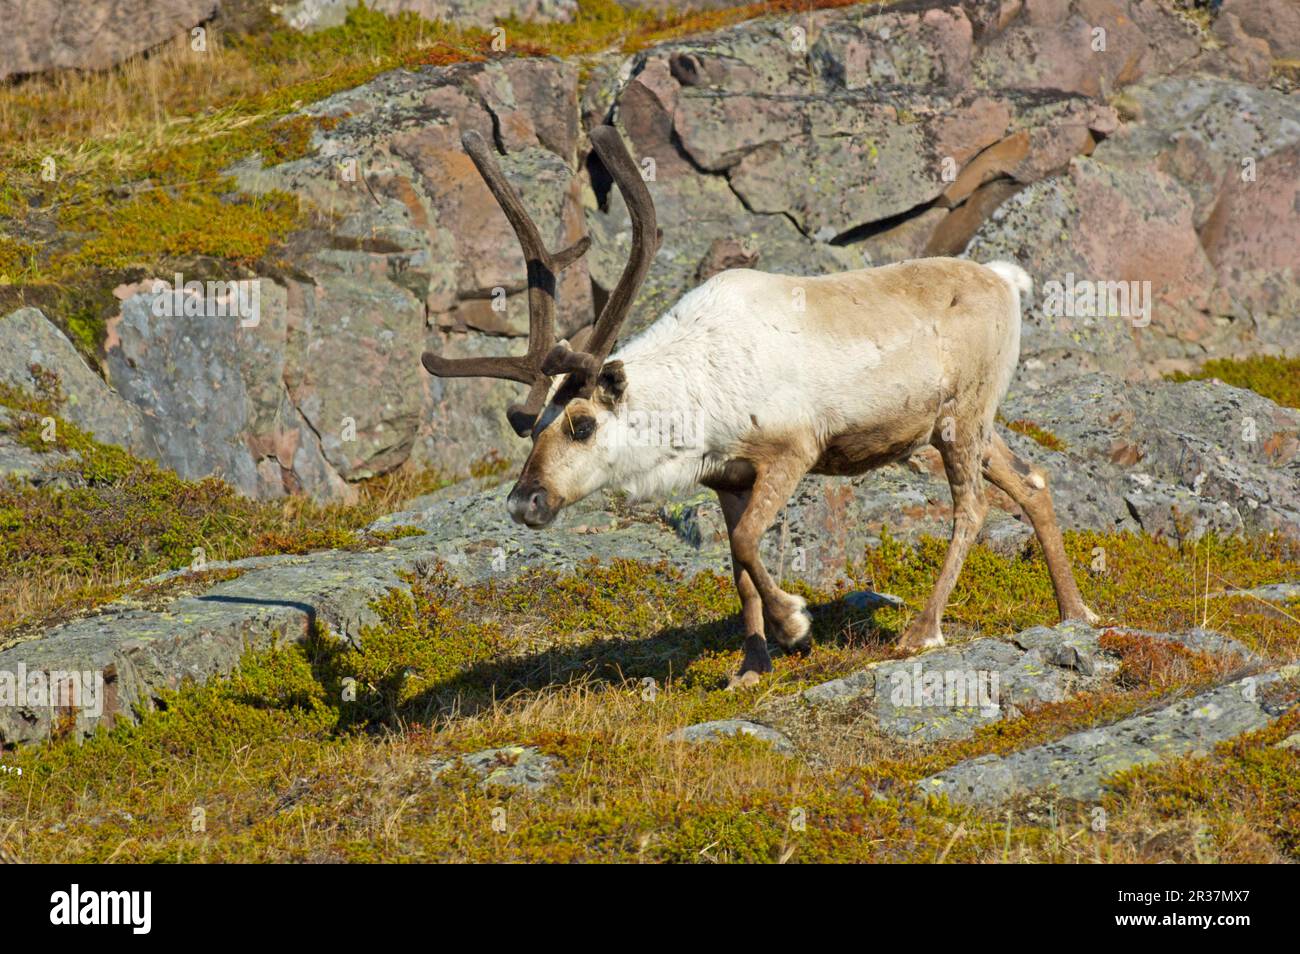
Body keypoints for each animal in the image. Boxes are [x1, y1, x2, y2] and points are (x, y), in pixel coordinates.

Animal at [423, 125, 1098, 689]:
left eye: (582, 424)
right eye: (529, 426)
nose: (524, 502)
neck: (693, 401)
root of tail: (1006, 280)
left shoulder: (790, 449)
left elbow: (750, 544)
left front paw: (795, 625)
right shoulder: (725, 477)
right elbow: (736, 567)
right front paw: (751, 665)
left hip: (962, 417)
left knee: (973, 506)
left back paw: (920, 631)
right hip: (967, 424)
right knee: (1033, 481)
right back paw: (1076, 611)